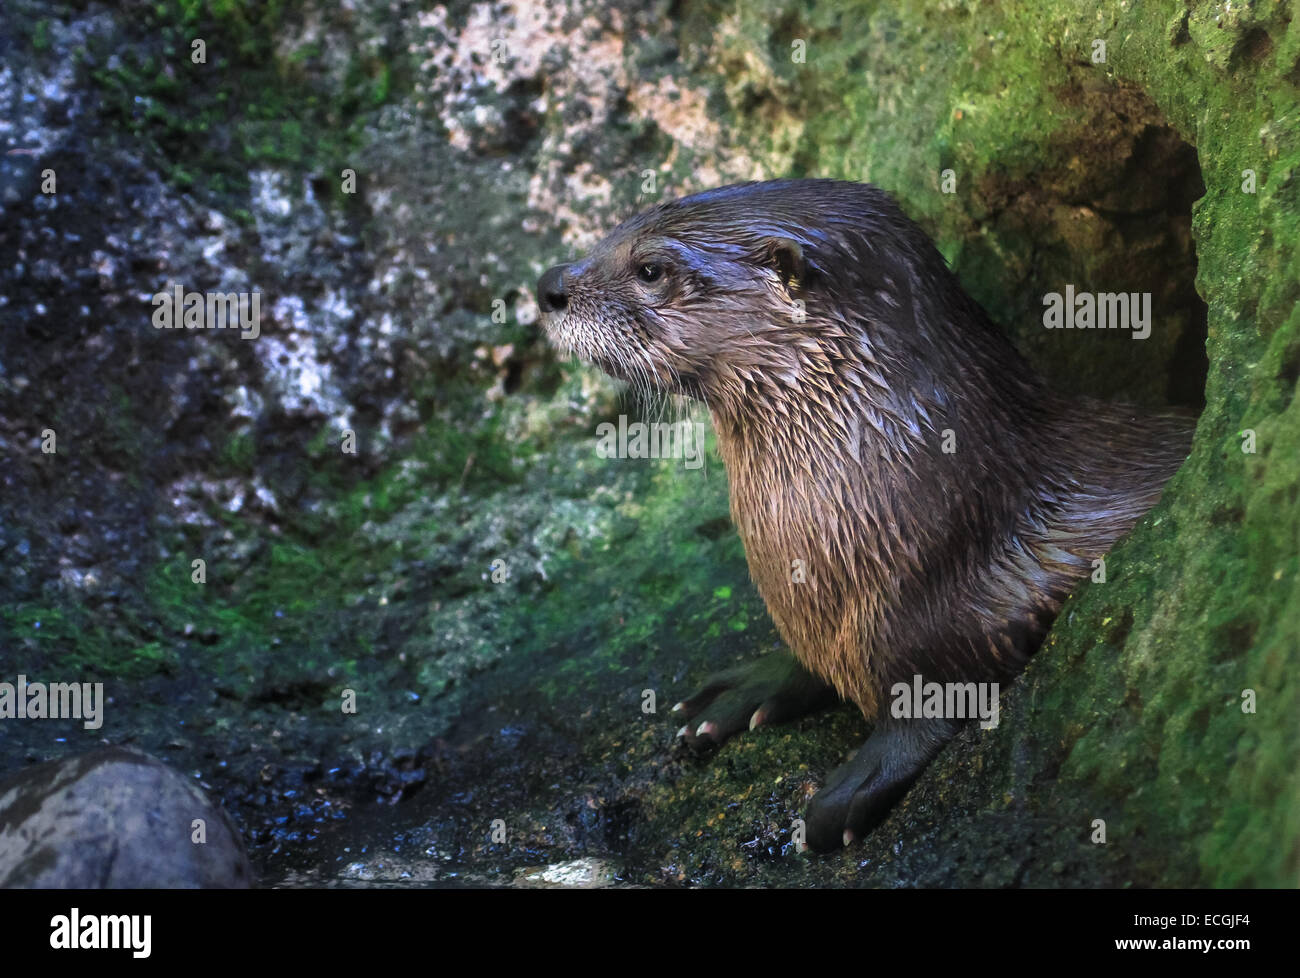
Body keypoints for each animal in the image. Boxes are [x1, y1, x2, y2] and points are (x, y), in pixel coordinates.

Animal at [537, 179, 1193, 853]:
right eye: (619, 227)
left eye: (650, 270)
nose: (548, 286)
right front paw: (755, 684)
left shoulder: (959, 608)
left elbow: (936, 692)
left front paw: (851, 789)